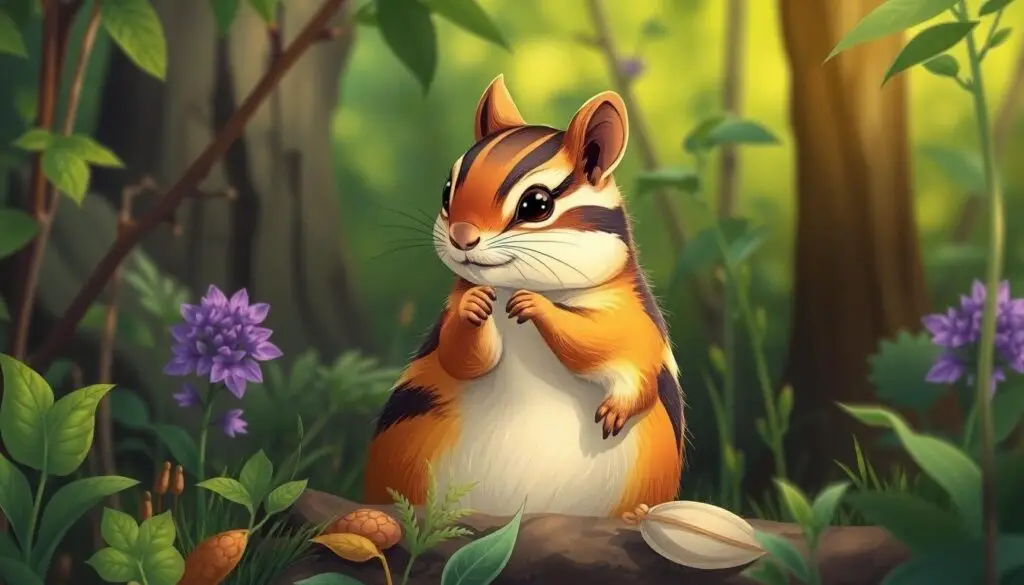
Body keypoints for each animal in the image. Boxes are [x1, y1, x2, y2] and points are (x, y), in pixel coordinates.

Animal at [363, 75, 685, 517]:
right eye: (446, 191)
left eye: (536, 205)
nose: (461, 236)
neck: (512, 287)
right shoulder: (451, 313)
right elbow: (460, 358)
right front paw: (474, 308)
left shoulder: (627, 315)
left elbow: (608, 345)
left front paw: (537, 306)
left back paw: (638, 516)